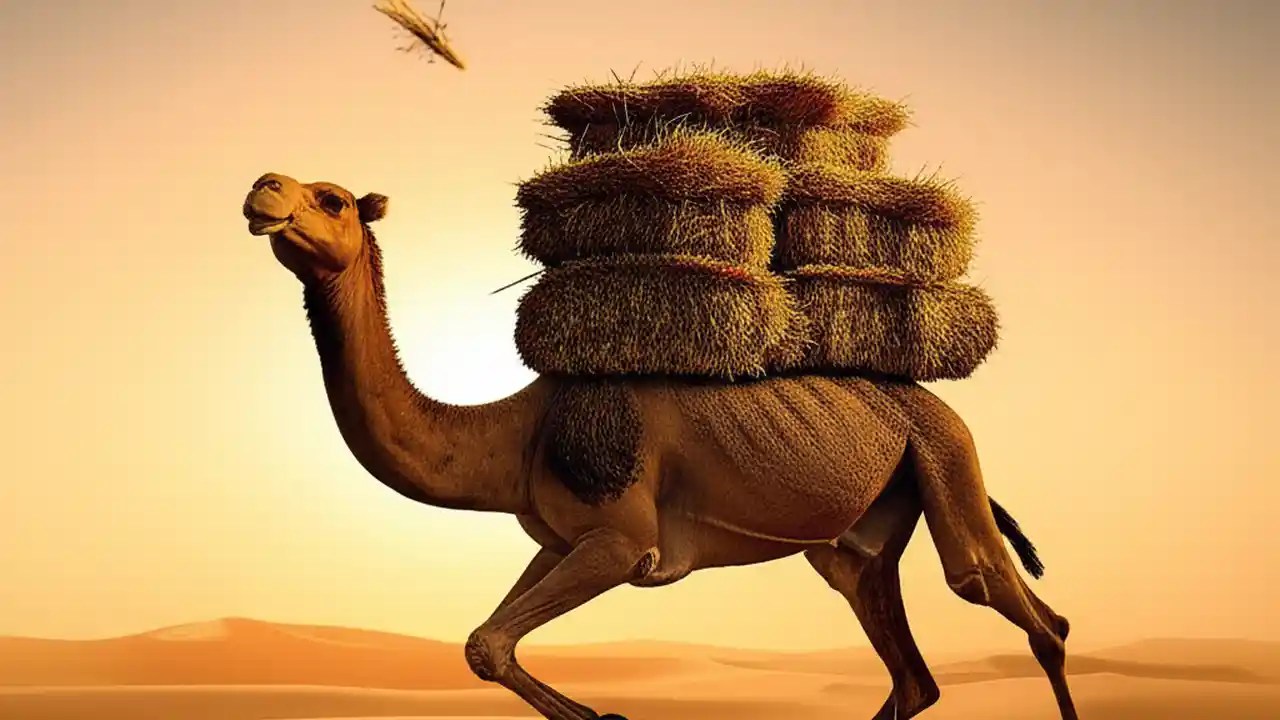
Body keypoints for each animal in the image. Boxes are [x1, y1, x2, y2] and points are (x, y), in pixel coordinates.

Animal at [241, 172, 1078, 720]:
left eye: (332, 199)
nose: (262, 189)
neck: (515, 433)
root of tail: (933, 407)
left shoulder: (621, 538)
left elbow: (487, 643)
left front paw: (604, 716)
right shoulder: (561, 539)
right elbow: (489, 646)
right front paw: (598, 713)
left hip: (946, 456)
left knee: (1016, 607)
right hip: (862, 530)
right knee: (906, 664)